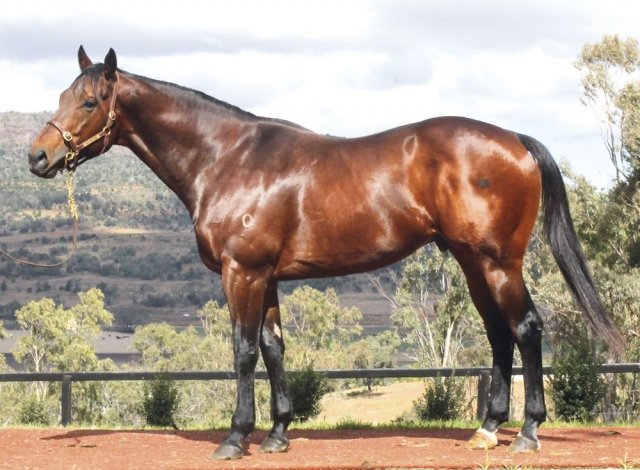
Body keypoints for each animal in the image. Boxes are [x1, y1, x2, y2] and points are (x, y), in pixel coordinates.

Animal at [28, 47, 622, 459]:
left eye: (89, 101)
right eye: (59, 96)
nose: (37, 156)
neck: (227, 157)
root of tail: (515, 139)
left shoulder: (241, 273)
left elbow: (243, 351)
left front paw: (235, 438)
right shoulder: (265, 277)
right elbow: (273, 349)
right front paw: (277, 435)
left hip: (498, 262)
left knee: (526, 328)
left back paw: (527, 433)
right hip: (473, 263)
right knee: (500, 334)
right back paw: (487, 430)